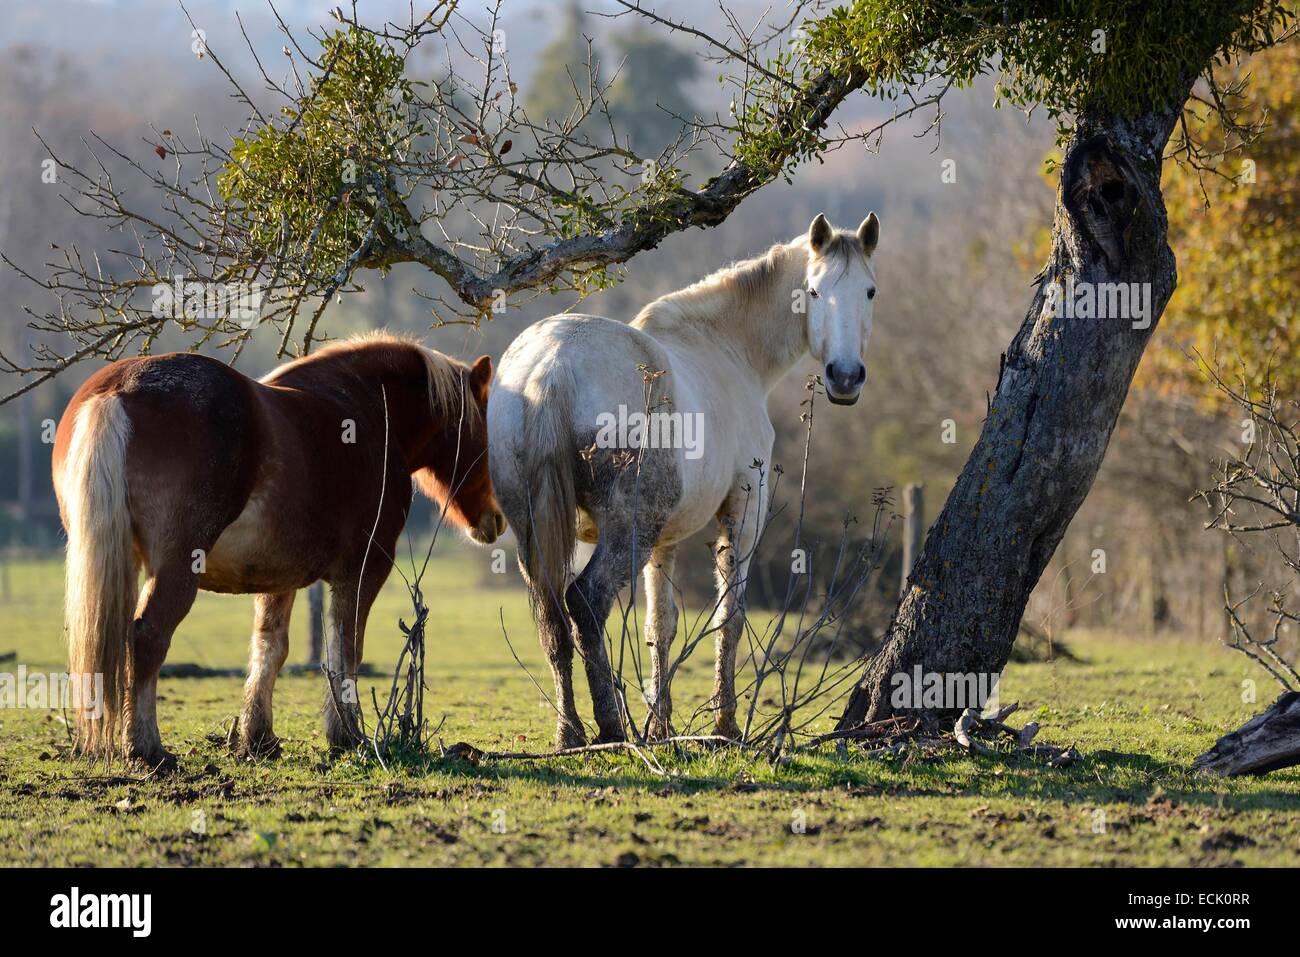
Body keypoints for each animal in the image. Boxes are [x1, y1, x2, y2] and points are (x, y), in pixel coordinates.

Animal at [52, 332, 505, 769]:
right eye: (488, 435)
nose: (497, 520)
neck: (370, 412)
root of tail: (119, 388)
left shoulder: (278, 578)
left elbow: (270, 649)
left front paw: (258, 738)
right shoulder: (362, 571)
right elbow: (345, 649)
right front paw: (347, 735)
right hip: (178, 566)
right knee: (148, 636)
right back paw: (147, 749)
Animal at [489, 213, 880, 747]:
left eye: (869, 291)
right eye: (815, 291)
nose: (845, 377)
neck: (725, 346)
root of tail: (551, 366)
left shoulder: (665, 541)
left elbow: (661, 625)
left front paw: (661, 725)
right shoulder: (742, 513)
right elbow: (729, 617)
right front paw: (725, 723)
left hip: (535, 532)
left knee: (553, 620)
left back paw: (570, 732)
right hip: (626, 530)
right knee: (585, 603)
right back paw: (610, 726)